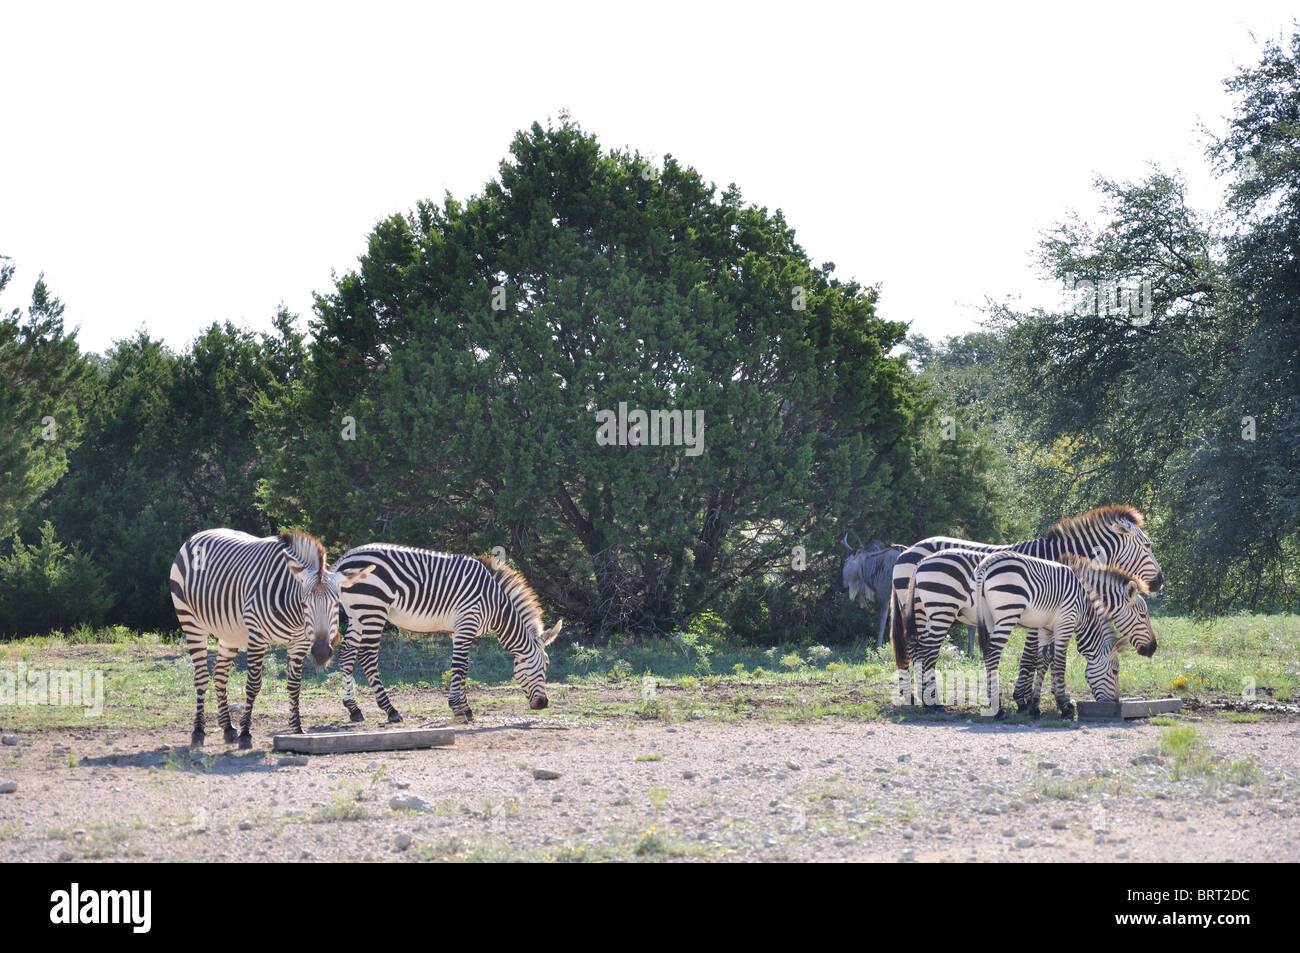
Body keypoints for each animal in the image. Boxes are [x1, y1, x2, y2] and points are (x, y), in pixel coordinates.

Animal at [169, 529, 374, 748]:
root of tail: (198, 535)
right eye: (304, 603)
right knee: (201, 677)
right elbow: (253, 685)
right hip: (191, 622)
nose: (320, 653)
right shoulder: (257, 637)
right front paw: (246, 734)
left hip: (229, 634)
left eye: (336, 603)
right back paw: (198, 731)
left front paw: (297, 729)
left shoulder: (299, 643)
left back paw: (228, 728)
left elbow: (294, 685)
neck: (294, 615)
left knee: (220, 673)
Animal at [333, 544, 563, 724]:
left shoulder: (459, 630)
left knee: (346, 653)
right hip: (373, 610)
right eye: (545, 665)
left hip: (357, 614)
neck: (496, 603)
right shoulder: (467, 623)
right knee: (367, 657)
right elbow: (460, 667)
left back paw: (354, 709)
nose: (544, 704)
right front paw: (458, 710)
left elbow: (464, 668)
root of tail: (344, 560)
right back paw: (390, 710)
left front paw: (466, 708)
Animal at [974, 551, 1155, 718]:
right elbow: (1059, 663)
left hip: (990, 618)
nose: (1116, 702)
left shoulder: (1045, 628)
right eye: (1115, 671)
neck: (1083, 609)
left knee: (989, 654)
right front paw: (1065, 707)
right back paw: (997, 709)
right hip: (1008, 614)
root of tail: (987, 564)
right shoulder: (1065, 624)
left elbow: (1043, 660)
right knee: (993, 654)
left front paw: (1035, 706)